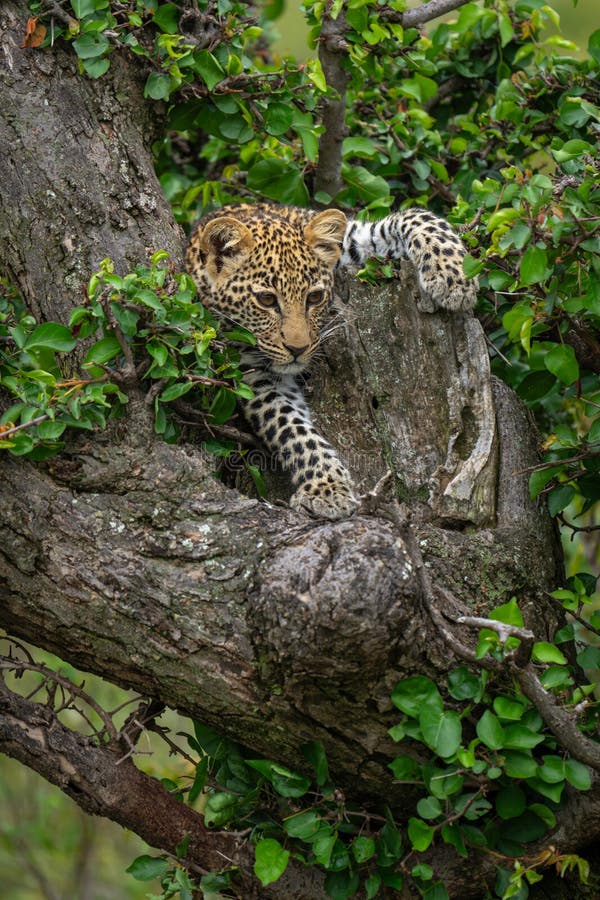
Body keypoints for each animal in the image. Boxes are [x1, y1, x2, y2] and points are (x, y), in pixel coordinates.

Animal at [185, 203, 477, 520]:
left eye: (314, 297)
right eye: (266, 300)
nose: (298, 349)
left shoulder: (350, 241)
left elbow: (410, 218)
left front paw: (454, 274)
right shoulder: (253, 375)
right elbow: (293, 429)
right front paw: (328, 488)